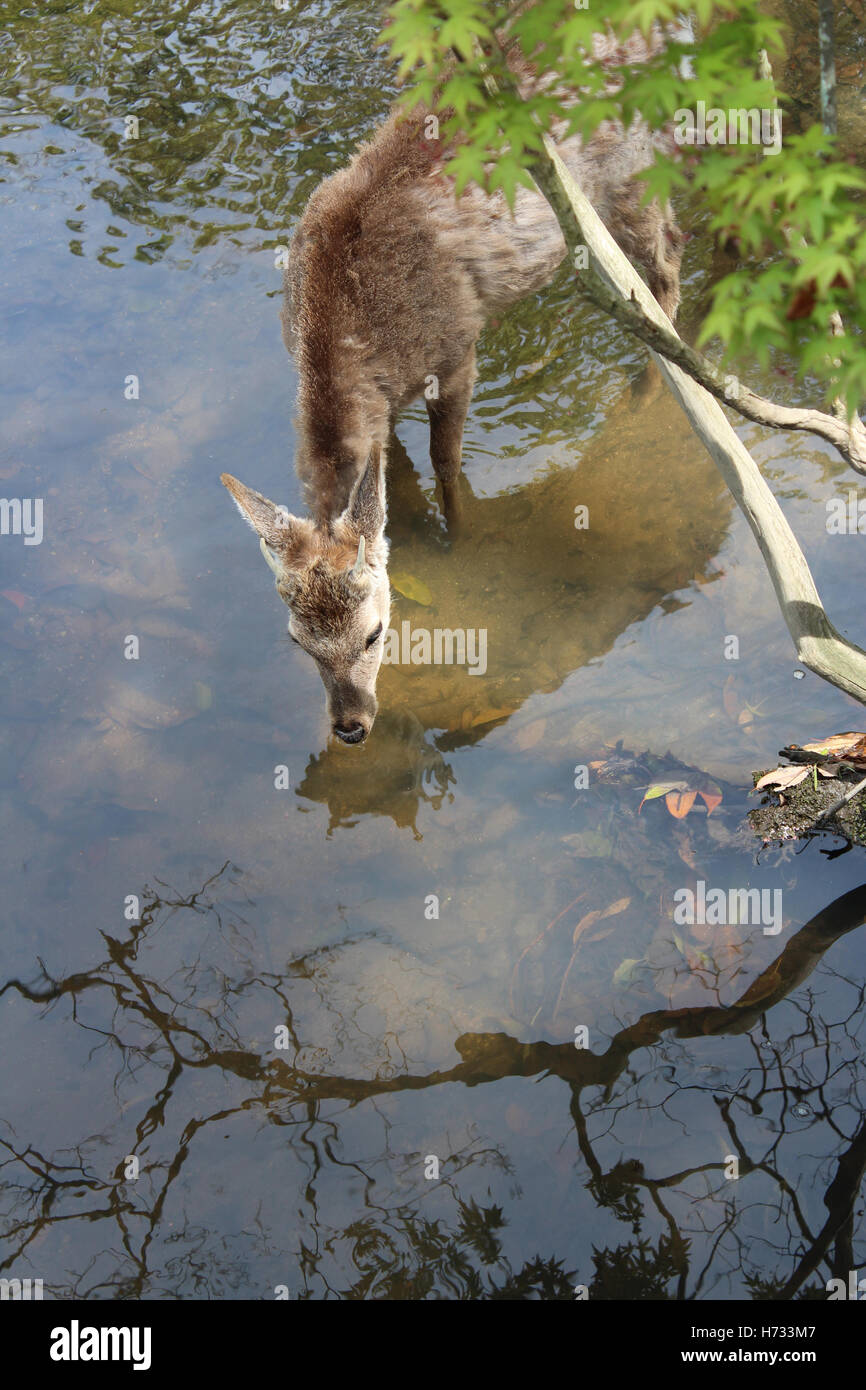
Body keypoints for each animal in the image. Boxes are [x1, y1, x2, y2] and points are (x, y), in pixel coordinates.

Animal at [222, 25, 687, 745]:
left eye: (375, 631)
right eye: (299, 643)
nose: (350, 726)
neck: (348, 328)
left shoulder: (460, 346)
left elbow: (445, 462)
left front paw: (467, 546)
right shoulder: (384, 403)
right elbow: (391, 479)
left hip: (635, 172)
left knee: (665, 272)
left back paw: (645, 394)